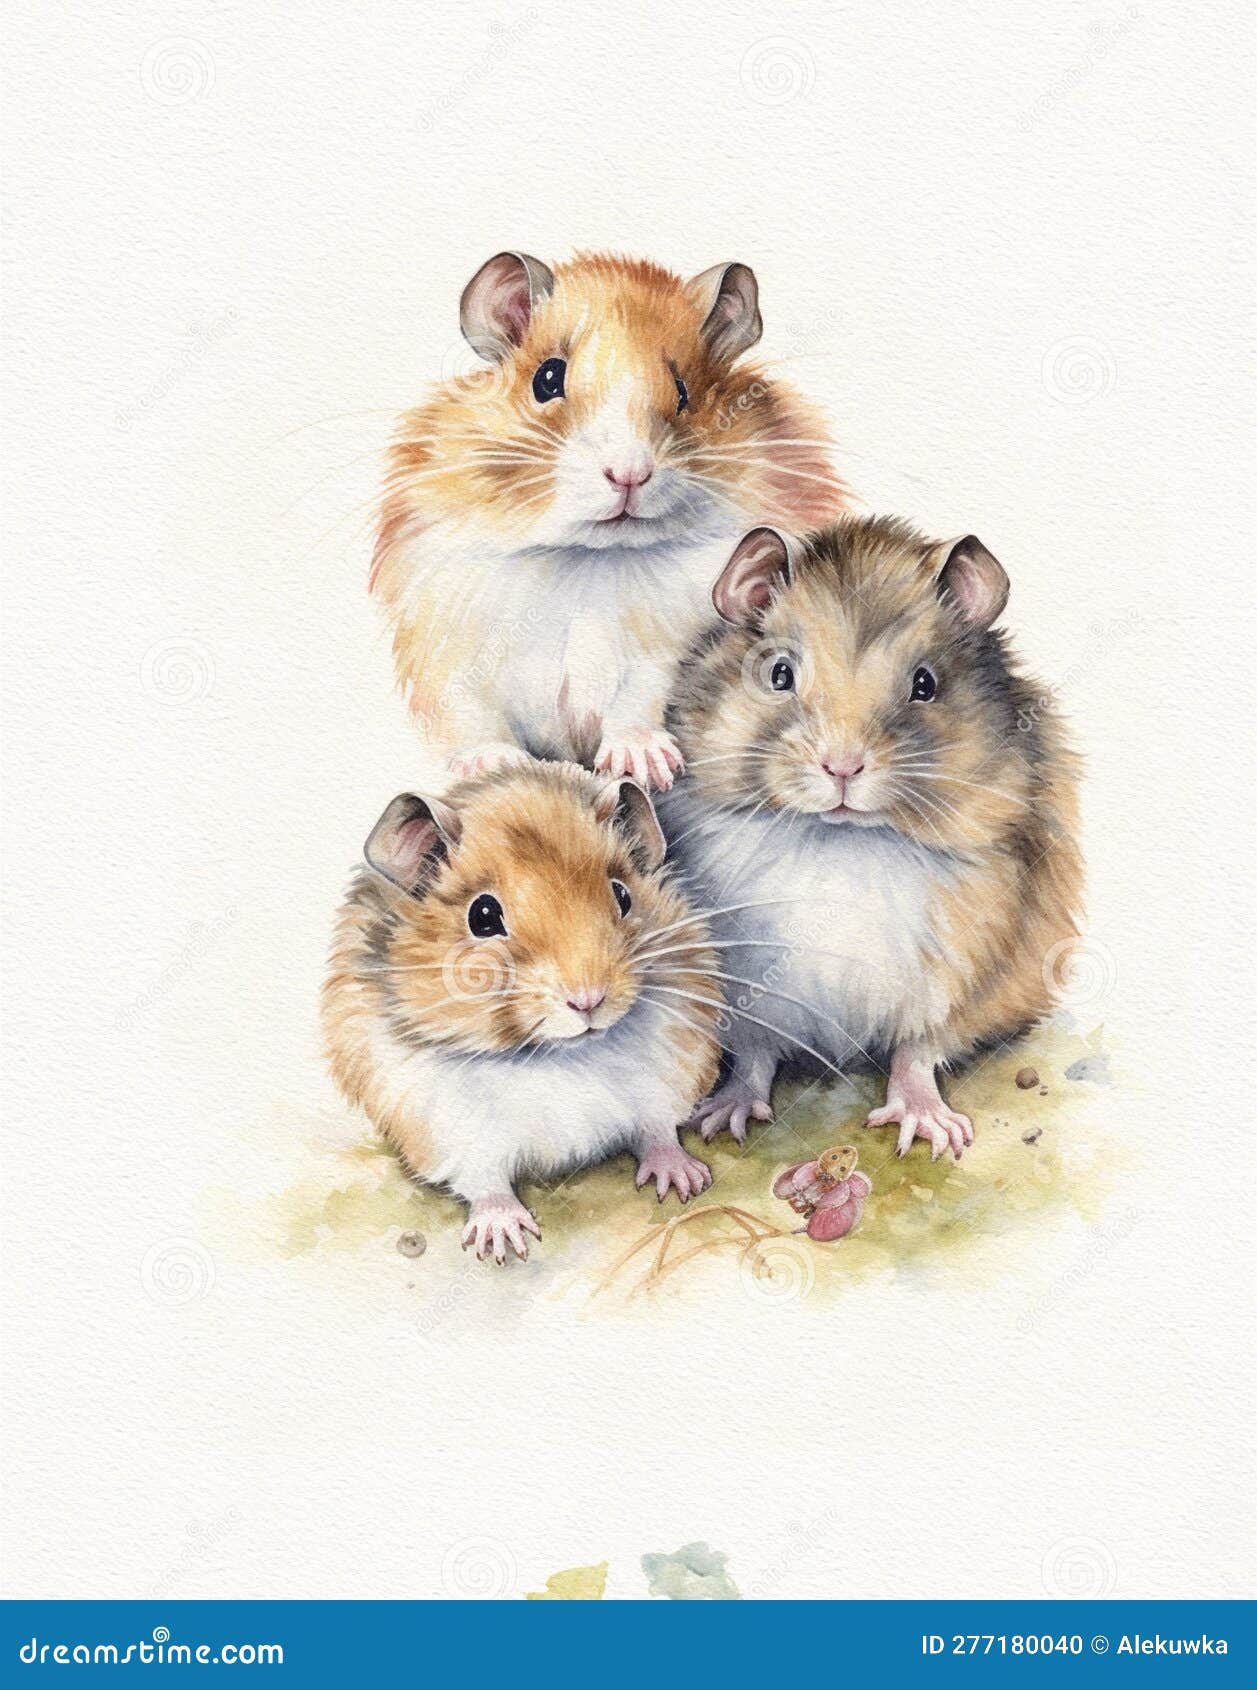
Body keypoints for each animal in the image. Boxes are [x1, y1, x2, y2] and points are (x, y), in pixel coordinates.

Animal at [322, 760, 721, 1262]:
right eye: (483, 916)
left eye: (622, 895)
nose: (588, 1000)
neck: (556, 1054)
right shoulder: (440, 1123)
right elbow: (485, 1180)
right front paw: (504, 1242)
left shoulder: (670, 1072)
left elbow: (658, 1131)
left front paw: (686, 1183)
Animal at [370, 250, 844, 792]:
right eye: (547, 379)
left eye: (684, 392)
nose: (628, 474)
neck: (593, 558)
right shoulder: (446, 636)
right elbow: (471, 710)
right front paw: (492, 765)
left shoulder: (673, 642)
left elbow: (643, 693)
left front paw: (644, 763)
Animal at [663, 516, 1083, 1160]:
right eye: (779, 673)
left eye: (925, 684)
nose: (842, 767)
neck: (840, 841)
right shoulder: (745, 988)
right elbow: (754, 1054)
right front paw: (723, 1118)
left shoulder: (963, 969)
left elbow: (919, 1049)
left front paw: (928, 1130)